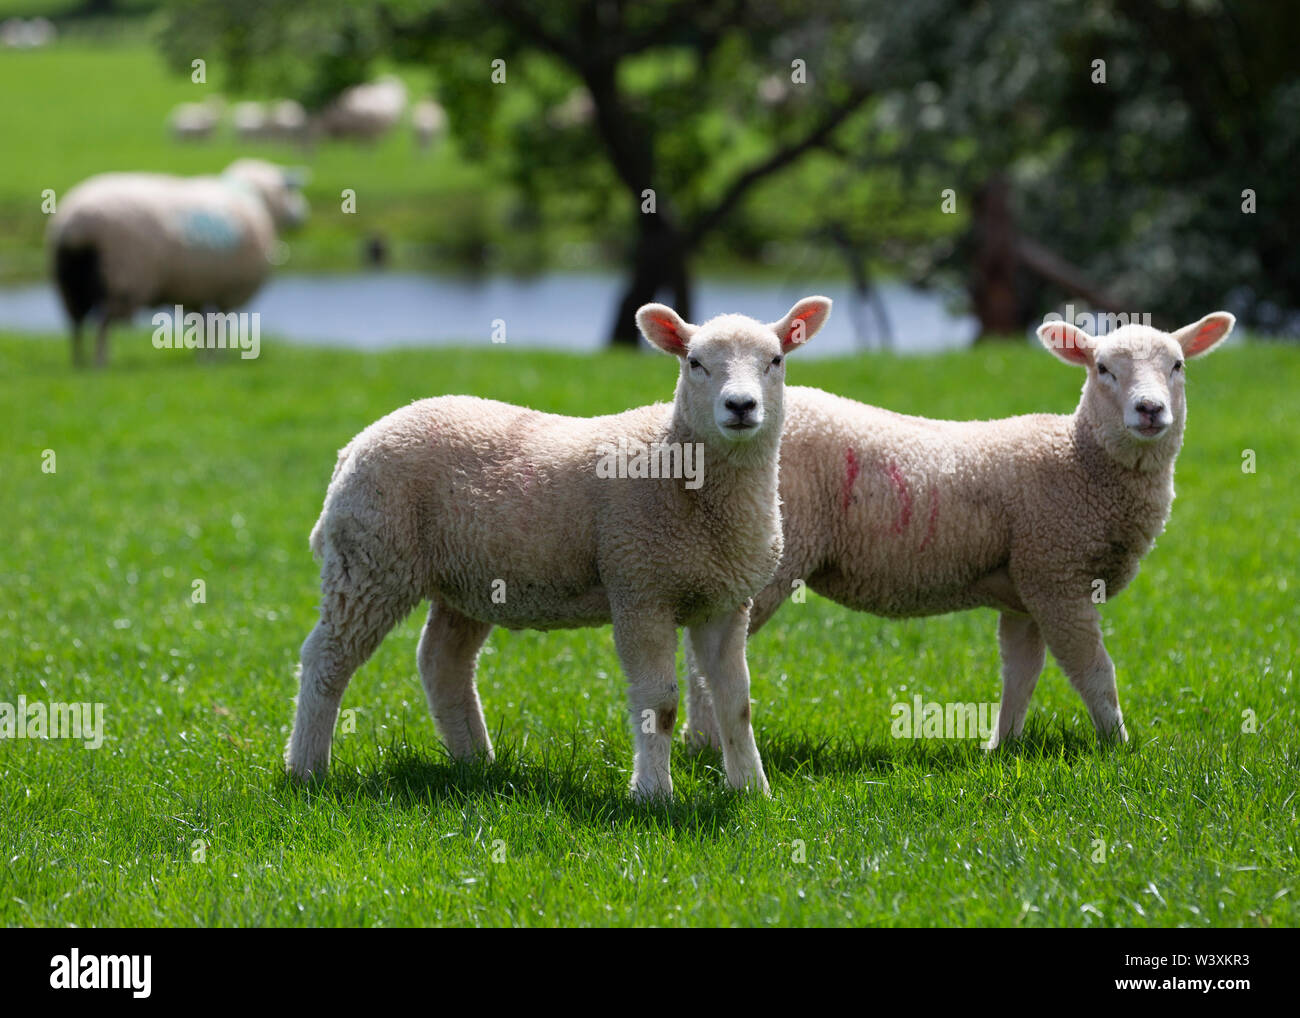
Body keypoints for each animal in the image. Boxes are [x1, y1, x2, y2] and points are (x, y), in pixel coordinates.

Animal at [47, 159, 308, 367]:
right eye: (290, 192)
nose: (302, 217)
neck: (256, 201)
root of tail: (77, 226)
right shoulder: (228, 292)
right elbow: (220, 327)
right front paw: (217, 358)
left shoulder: (197, 291)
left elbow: (203, 326)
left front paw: (203, 357)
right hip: (121, 278)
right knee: (102, 323)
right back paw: (100, 361)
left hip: (70, 281)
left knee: (76, 322)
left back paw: (79, 361)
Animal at [285, 297, 833, 800]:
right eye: (694, 362)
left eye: (776, 360)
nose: (740, 406)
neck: (681, 472)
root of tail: (355, 445)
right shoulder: (639, 587)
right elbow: (660, 703)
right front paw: (654, 794)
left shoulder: (725, 599)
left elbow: (735, 700)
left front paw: (752, 790)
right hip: (370, 559)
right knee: (326, 658)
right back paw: (307, 769)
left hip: (464, 578)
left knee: (443, 663)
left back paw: (475, 762)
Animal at [682, 312, 1235, 753]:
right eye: (1103, 369)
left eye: (1178, 365)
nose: (1150, 410)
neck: (1079, 460)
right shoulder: (1057, 574)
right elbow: (1094, 671)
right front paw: (1119, 746)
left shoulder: (1026, 589)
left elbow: (1021, 675)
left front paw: (1001, 747)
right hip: (766, 558)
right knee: (709, 660)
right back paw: (705, 746)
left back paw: (699, 746)